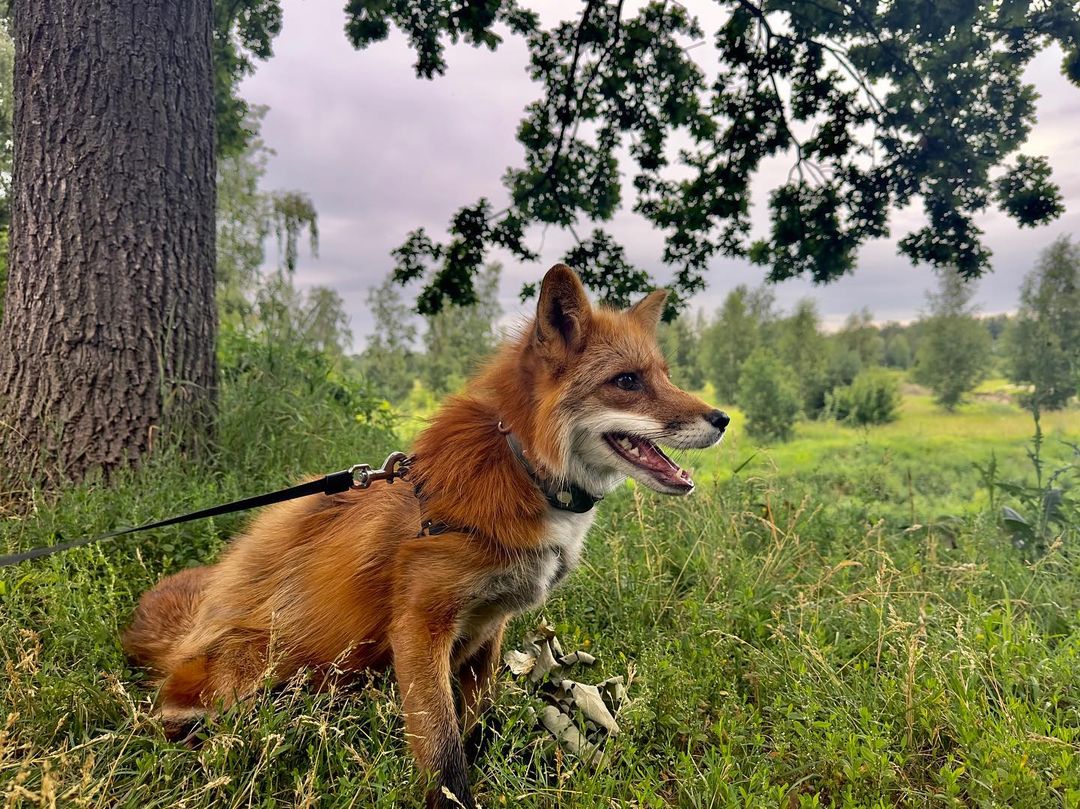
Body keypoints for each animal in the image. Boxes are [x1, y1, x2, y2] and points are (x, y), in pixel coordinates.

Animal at [123, 263, 729, 808]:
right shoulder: (419, 625)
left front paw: (490, 756)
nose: (722, 418)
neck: (521, 469)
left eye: (666, 375)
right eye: (627, 381)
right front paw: (458, 796)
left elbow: (478, 723)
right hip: (258, 665)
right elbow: (442, 751)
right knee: (171, 712)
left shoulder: (489, 626)